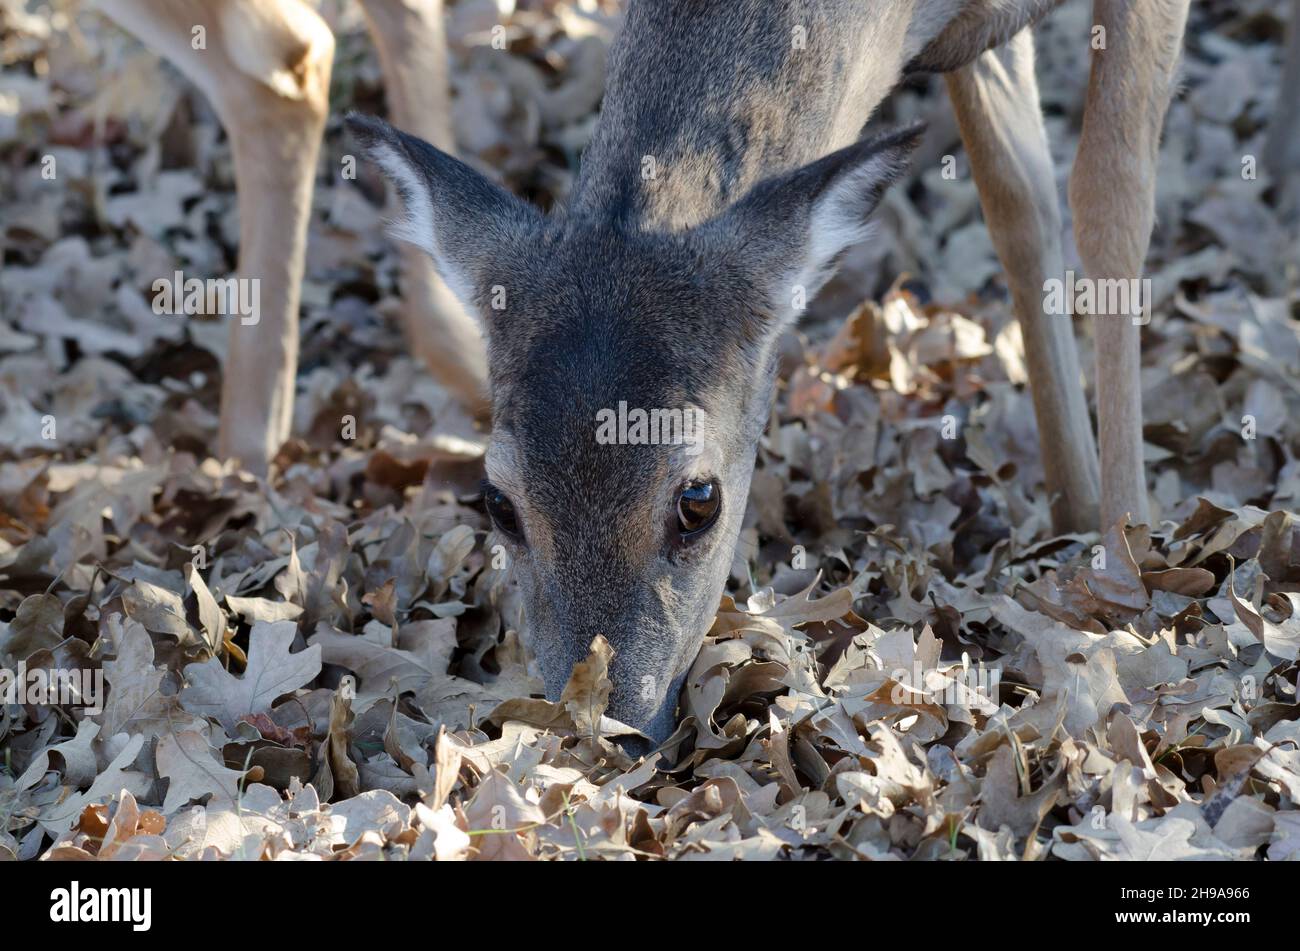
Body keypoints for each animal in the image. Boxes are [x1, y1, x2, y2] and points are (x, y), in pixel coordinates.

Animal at [91, 0, 1205, 745]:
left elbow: (1110, 198)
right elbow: (1018, 195)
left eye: (699, 501)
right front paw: (1075, 510)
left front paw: (1126, 573)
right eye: (496, 501)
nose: (604, 726)